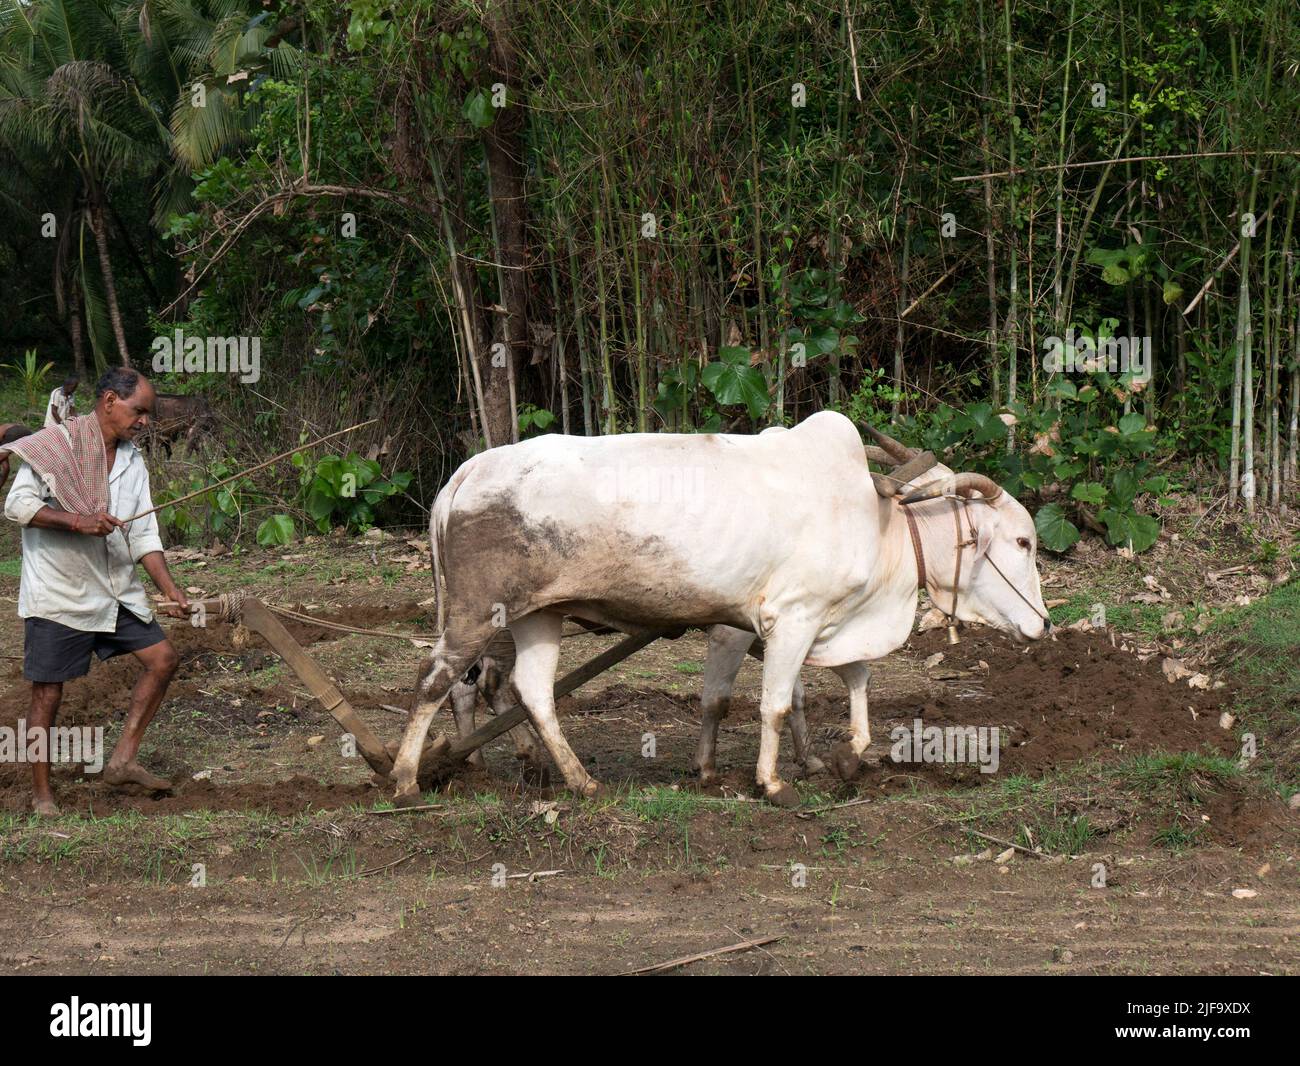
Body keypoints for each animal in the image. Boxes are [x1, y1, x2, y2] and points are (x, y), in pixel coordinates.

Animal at [393, 411, 1049, 807]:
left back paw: (579, 781)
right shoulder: (791, 619)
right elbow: (774, 704)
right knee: (438, 680)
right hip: (477, 614)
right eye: (1023, 542)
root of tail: (466, 472)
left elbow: (849, 689)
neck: (879, 515)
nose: (1043, 624)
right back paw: (404, 780)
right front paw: (773, 782)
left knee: (528, 690)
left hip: (538, 617)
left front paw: (839, 759)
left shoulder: (821, 622)